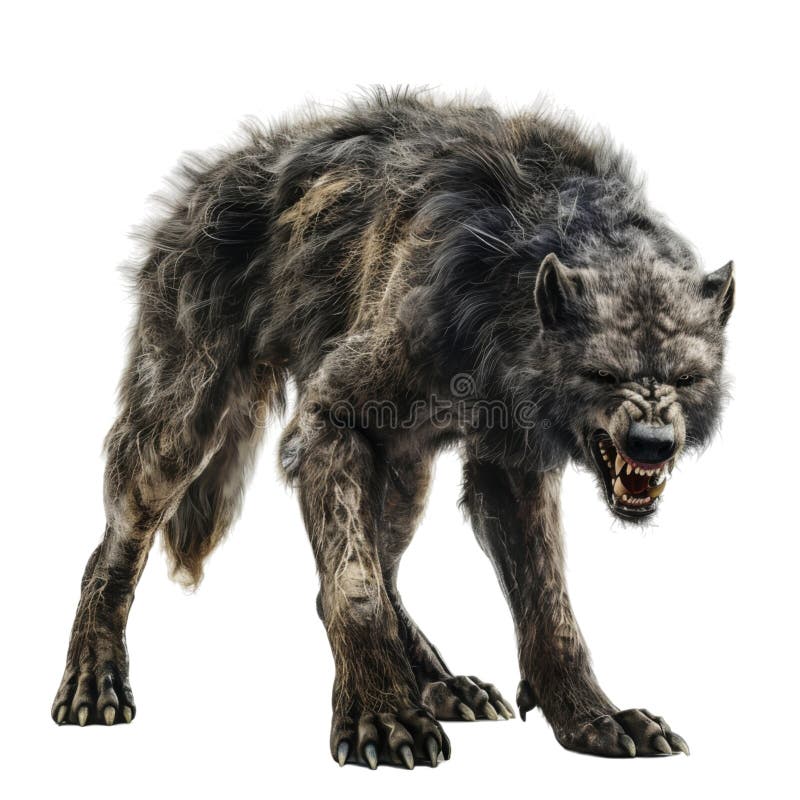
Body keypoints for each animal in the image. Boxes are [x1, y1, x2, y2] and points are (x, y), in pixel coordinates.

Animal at [52, 88, 733, 768]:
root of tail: (209, 174)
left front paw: (593, 717)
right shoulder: (331, 421)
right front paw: (379, 716)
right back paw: (93, 679)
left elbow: (548, 604)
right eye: (602, 374)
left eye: (687, 377)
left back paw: (440, 684)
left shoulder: (511, 469)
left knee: (381, 564)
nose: (651, 443)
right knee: (116, 547)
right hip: (180, 433)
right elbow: (355, 590)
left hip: (406, 474)